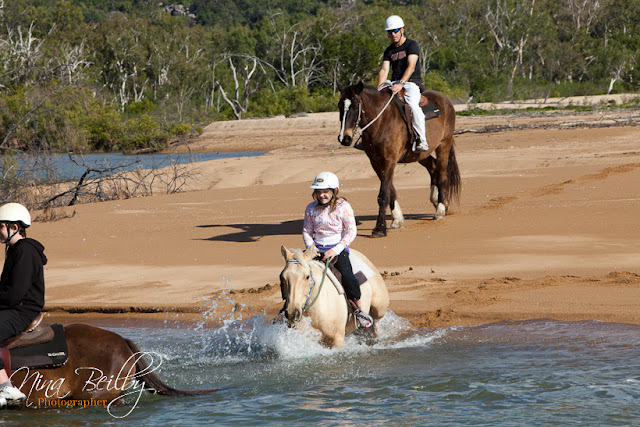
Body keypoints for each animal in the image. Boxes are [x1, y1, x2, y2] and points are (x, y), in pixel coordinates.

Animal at [337, 82, 461, 237]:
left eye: (355, 106)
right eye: (339, 106)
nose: (344, 138)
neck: (381, 121)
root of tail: (445, 99)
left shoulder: (389, 161)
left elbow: (383, 194)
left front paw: (380, 228)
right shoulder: (376, 162)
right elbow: (390, 191)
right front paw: (397, 220)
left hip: (444, 144)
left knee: (443, 174)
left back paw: (440, 209)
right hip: (420, 154)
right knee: (433, 168)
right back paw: (438, 200)